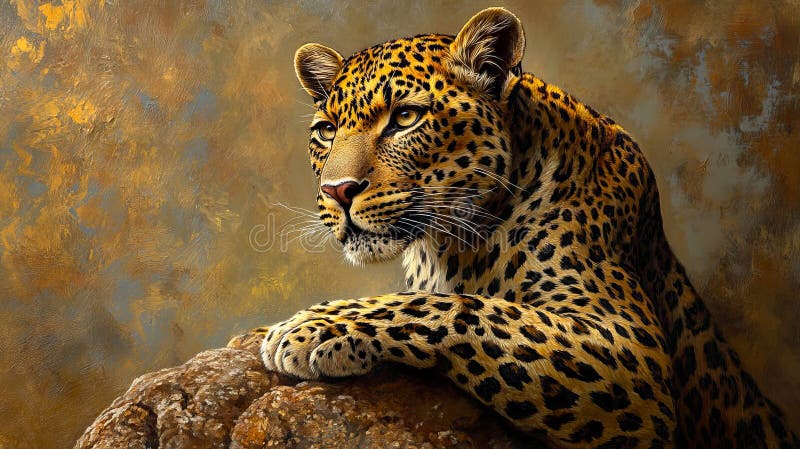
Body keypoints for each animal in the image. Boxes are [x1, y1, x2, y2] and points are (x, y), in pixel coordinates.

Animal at [247, 8, 799, 449]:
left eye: (405, 117)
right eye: (325, 131)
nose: (338, 190)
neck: (447, 245)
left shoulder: (630, 351)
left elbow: (463, 307)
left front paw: (314, 326)